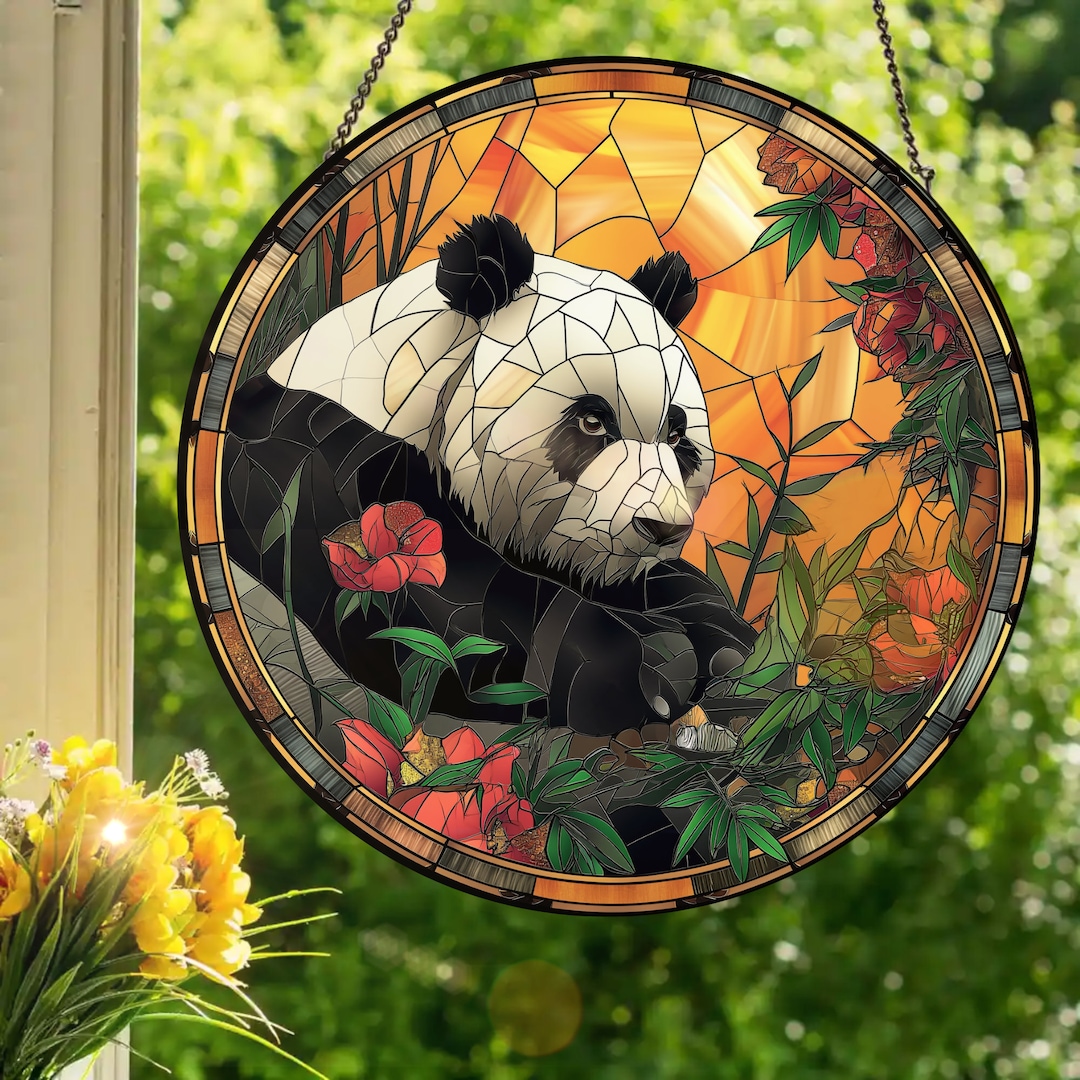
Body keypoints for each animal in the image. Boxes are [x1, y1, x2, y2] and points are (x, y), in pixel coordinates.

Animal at [221, 215, 757, 749]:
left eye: (677, 435)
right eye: (592, 422)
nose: (661, 528)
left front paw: (720, 636)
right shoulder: (317, 470)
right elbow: (437, 615)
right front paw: (657, 662)